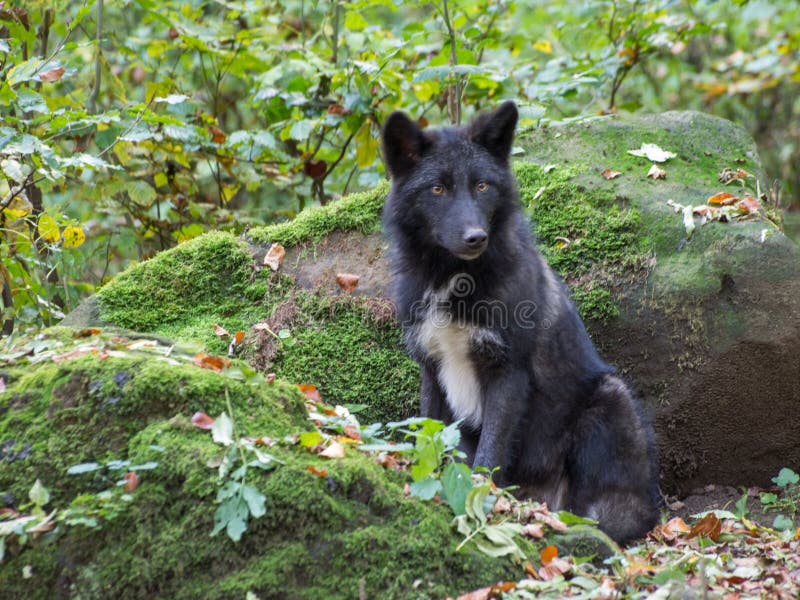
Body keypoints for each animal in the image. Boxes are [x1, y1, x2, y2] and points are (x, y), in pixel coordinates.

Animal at [381, 101, 660, 543]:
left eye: (482, 187)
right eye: (437, 189)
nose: (475, 237)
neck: (455, 280)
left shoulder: (507, 372)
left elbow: (489, 453)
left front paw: (478, 501)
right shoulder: (431, 366)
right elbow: (435, 436)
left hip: (609, 399)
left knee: (619, 515)